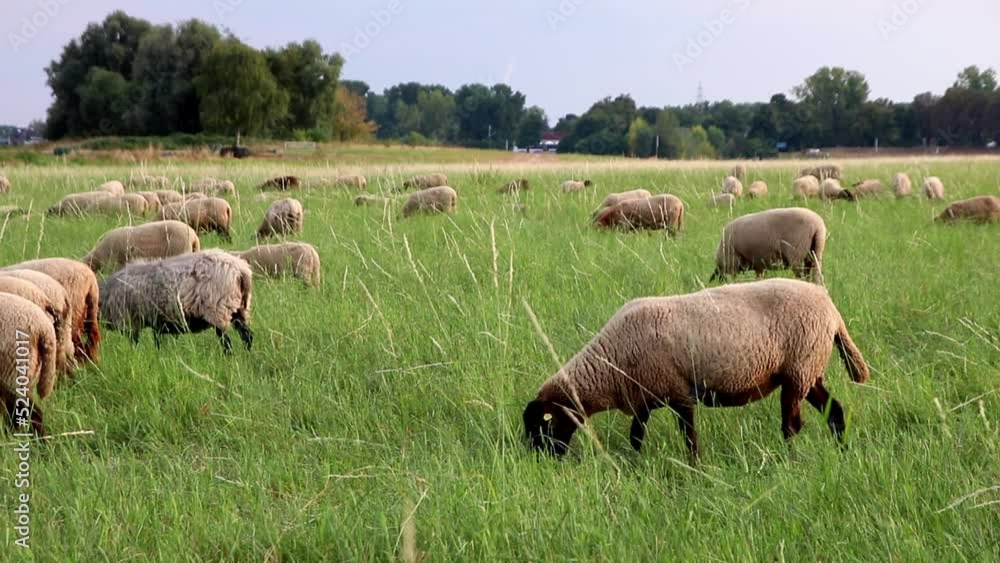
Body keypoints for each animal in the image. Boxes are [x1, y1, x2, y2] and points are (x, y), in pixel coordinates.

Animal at [98, 250, 253, 354]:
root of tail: (240, 270)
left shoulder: (132, 322)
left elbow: (137, 343)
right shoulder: (158, 322)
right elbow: (158, 342)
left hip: (218, 310)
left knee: (227, 342)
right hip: (239, 309)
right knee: (247, 336)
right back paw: (246, 356)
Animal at [522, 278, 870, 459]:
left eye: (543, 425)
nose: (541, 460)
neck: (610, 364)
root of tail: (831, 308)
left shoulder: (679, 393)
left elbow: (688, 436)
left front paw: (695, 468)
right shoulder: (645, 397)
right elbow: (636, 435)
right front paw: (636, 464)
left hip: (800, 368)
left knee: (792, 425)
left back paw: (790, 459)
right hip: (807, 371)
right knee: (835, 411)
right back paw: (843, 451)